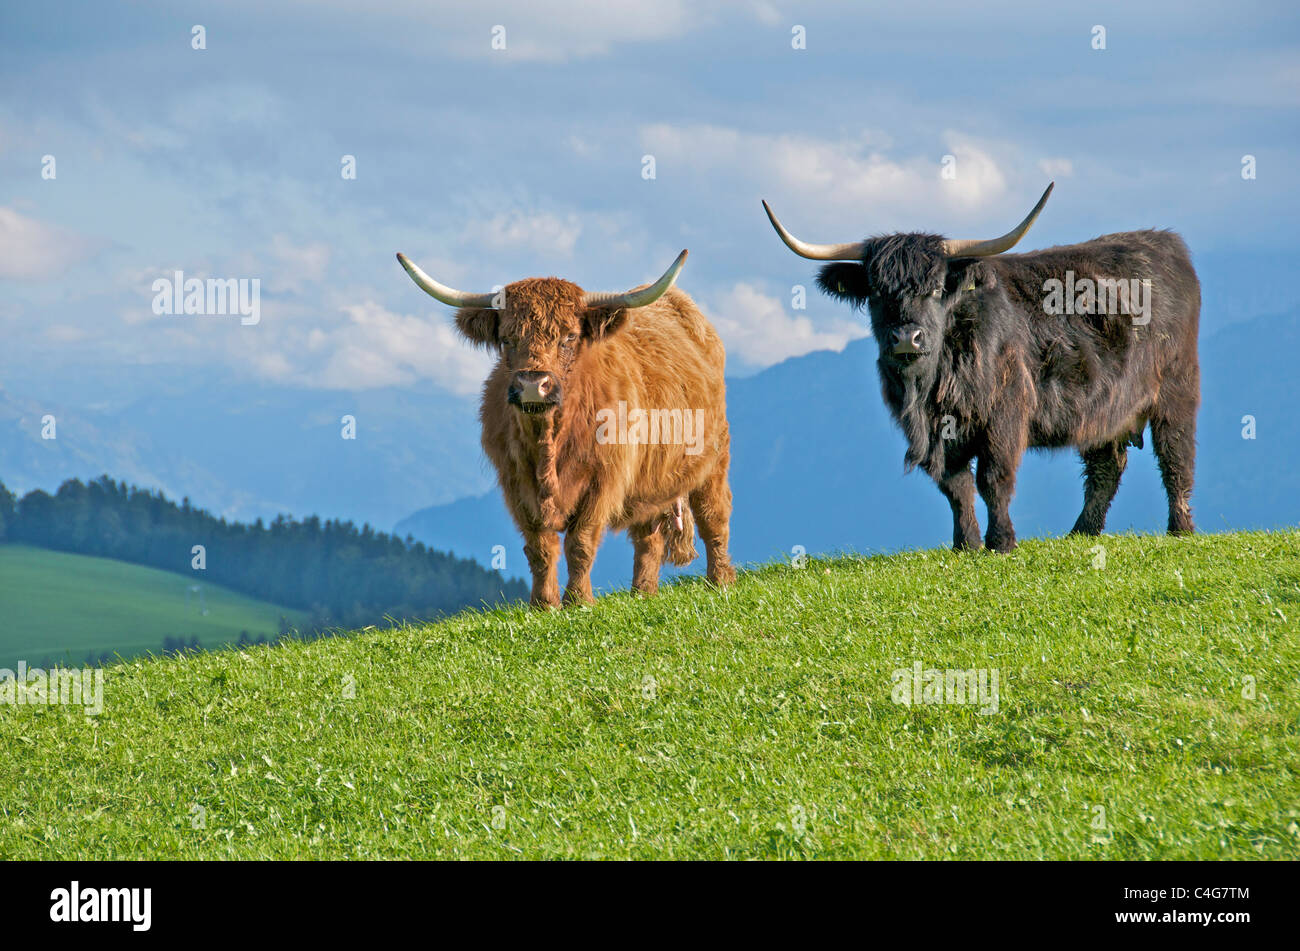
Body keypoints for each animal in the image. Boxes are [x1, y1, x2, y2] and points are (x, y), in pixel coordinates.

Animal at [396, 250, 736, 607]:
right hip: (651, 480)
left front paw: (578, 601)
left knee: (714, 516)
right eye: (507, 338)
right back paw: (642, 593)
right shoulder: (515, 482)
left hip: (714, 459)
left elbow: (580, 543)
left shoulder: (603, 479)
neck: (549, 442)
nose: (533, 385)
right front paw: (544, 604)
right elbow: (540, 548)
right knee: (648, 536)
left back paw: (721, 581)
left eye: (569, 336)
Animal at [762, 184, 1200, 552]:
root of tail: (1161, 241)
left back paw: (1180, 529)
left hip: (1176, 390)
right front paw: (966, 544)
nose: (907, 338)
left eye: (937, 289)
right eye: (876, 293)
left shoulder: (1004, 416)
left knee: (1175, 457)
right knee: (1107, 466)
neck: (931, 386)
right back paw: (1081, 532)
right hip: (1106, 409)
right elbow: (956, 487)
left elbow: (993, 478)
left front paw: (1002, 542)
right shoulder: (937, 434)